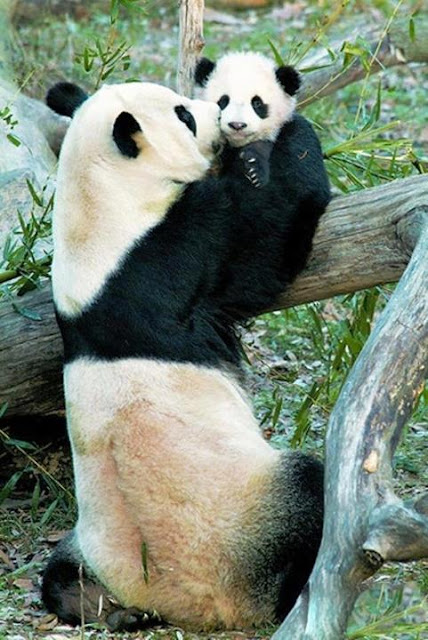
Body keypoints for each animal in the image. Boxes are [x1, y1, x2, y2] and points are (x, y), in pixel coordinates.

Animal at [41, 78, 329, 632]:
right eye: (185, 115)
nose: (221, 118)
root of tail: (176, 603)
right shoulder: (171, 257)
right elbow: (262, 238)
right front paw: (287, 138)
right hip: (242, 520)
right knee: (305, 494)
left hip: (95, 547)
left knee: (59, 577)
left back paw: (97, 607)